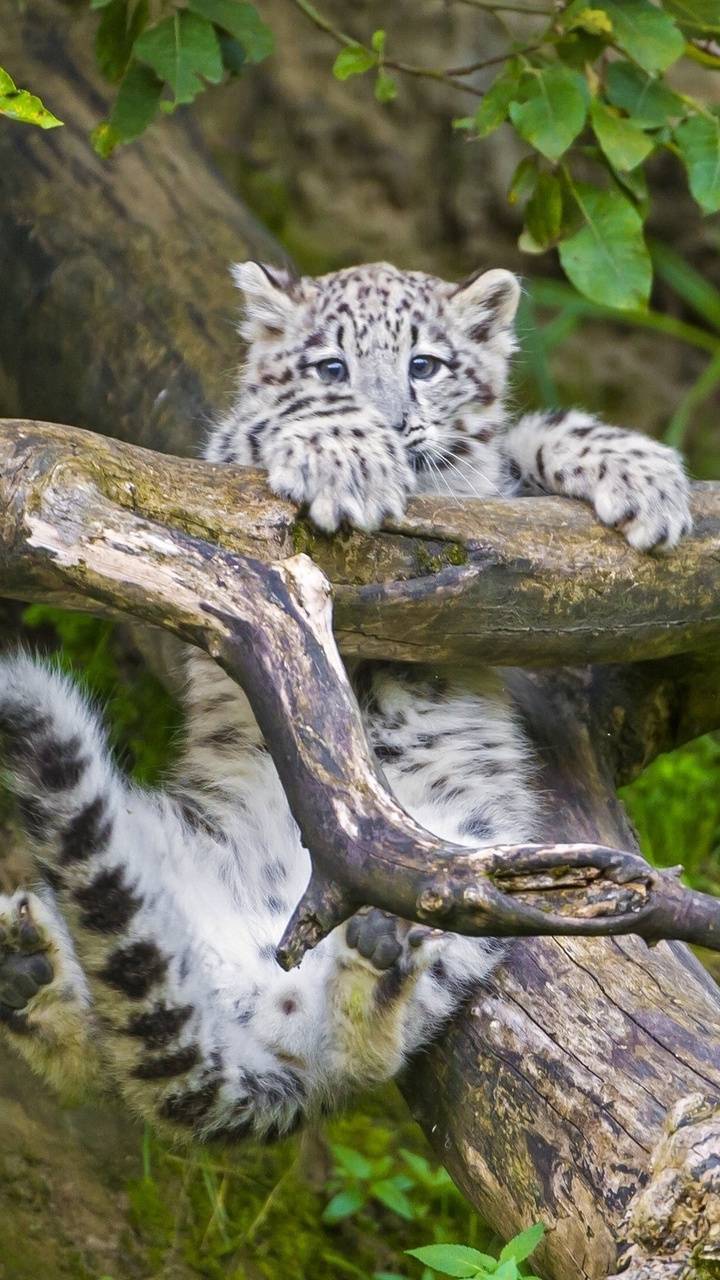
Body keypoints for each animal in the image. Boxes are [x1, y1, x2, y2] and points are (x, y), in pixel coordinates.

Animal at [0, 260, 691, 1141]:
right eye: (332, 367)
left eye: (425, 364)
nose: (392, 424)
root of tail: (254, 968)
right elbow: (260, 424)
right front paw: (345, 458)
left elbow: (523, 440)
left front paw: (643, 475)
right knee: (128, 1051)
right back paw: (35, 972)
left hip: (483, 877)